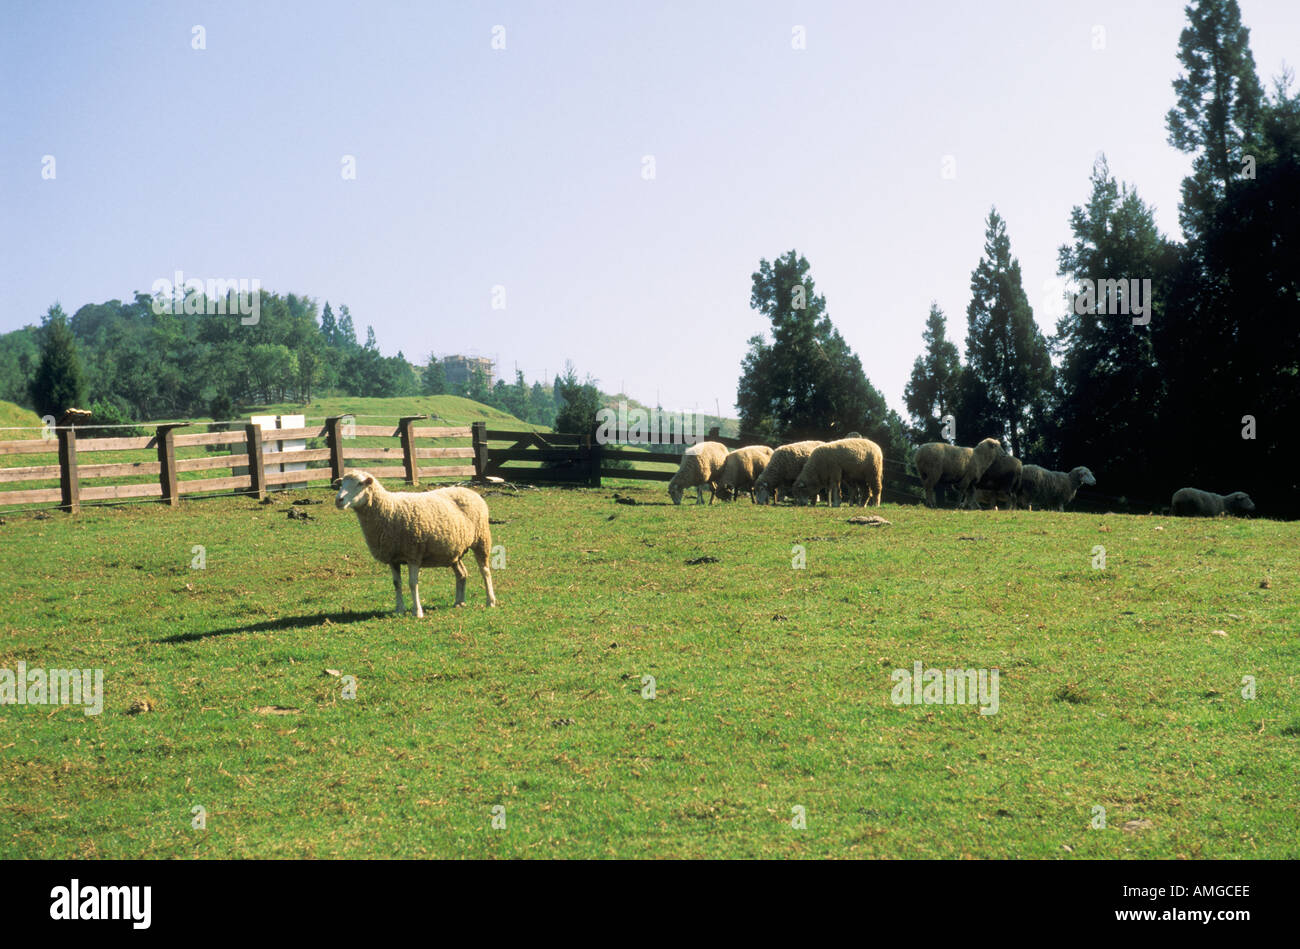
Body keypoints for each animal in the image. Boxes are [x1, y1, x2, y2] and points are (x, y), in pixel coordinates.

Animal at [334, 470, 497, 616]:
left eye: (360, 483)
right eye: (341, 484)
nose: (339, 500)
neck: (388, 509)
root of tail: (469, 491)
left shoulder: (413, 554)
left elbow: (413, 583)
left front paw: (417, 611)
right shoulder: (393, 558)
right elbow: (396, 583)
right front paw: (399, 610)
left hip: (481, 539)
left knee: (485, 571)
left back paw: (490, 601)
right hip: (453, 551)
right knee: (462, 574)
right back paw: (459, 602)